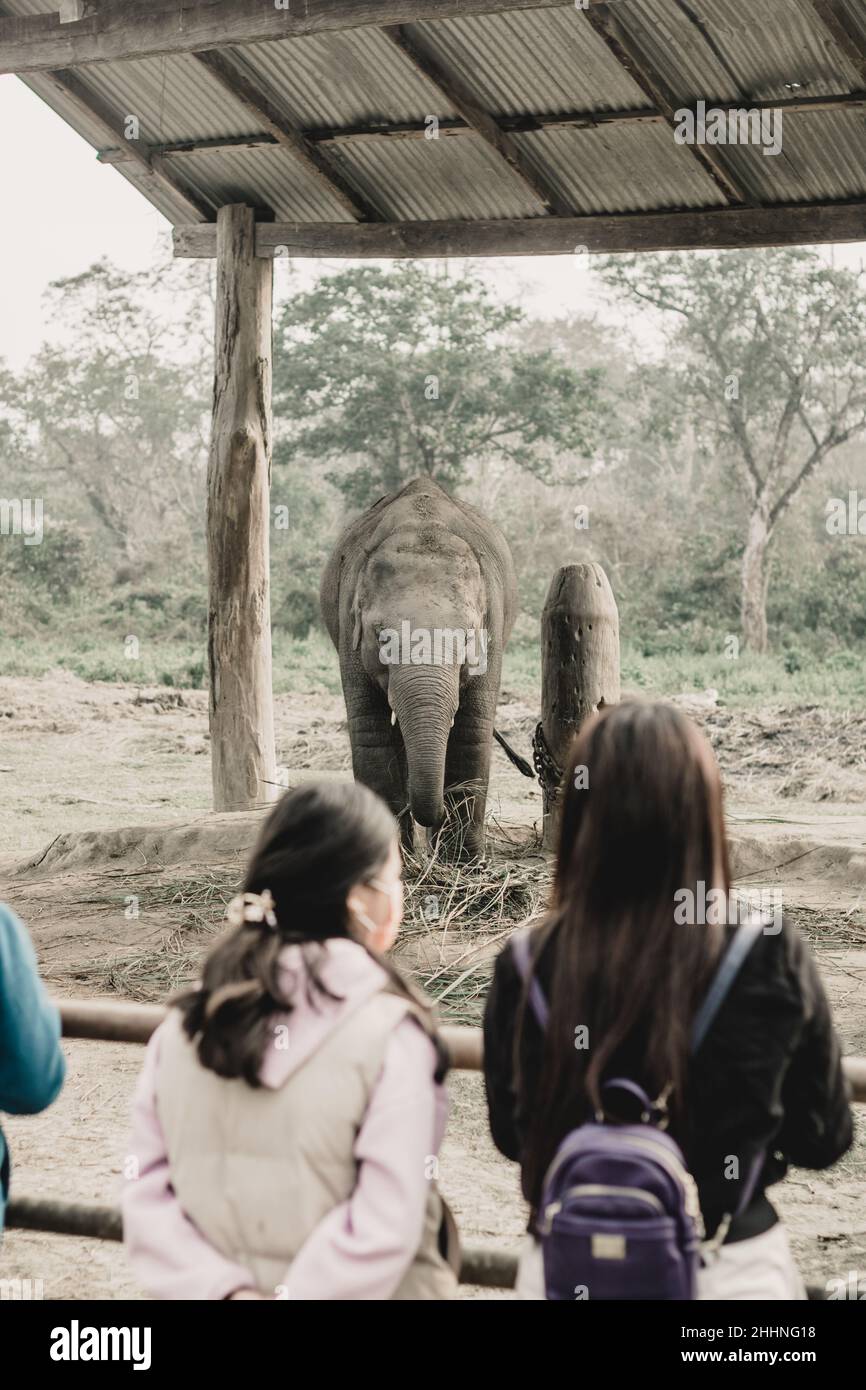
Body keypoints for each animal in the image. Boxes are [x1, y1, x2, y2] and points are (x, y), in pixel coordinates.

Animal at [321, 476, 518, 859]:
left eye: (468, 637)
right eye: (381, 637)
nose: (430, 814)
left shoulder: (494, 626)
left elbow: (472, 728)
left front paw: (464, 863)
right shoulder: (348, 627)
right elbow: (370, 731)